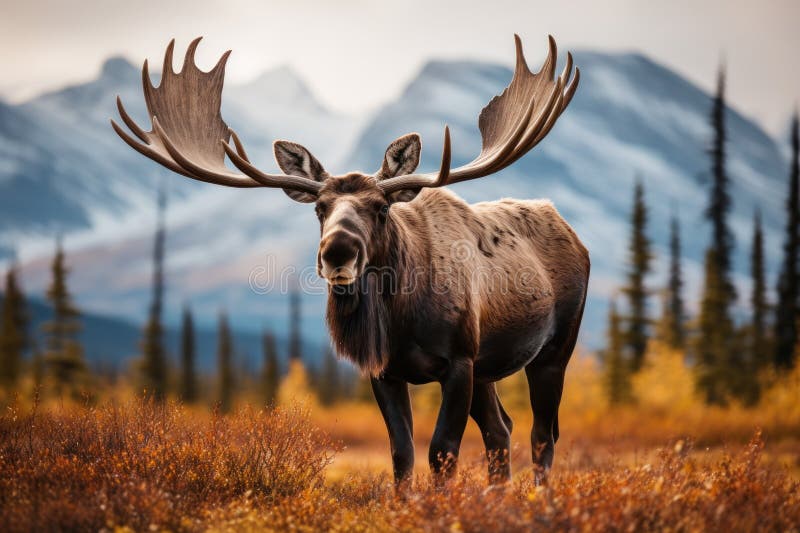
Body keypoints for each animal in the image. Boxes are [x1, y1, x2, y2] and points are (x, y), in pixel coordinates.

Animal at [111, 34, 589, 487]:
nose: (337, 251)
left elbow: (442, 451)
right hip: (488, 369)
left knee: (542, 435)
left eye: (381, 207)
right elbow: (402, 454)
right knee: (501, 430)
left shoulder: (458, 361)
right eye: (320, 208)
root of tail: (574, 235)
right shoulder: (386, 372)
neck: (400, 320)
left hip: (553, 350)